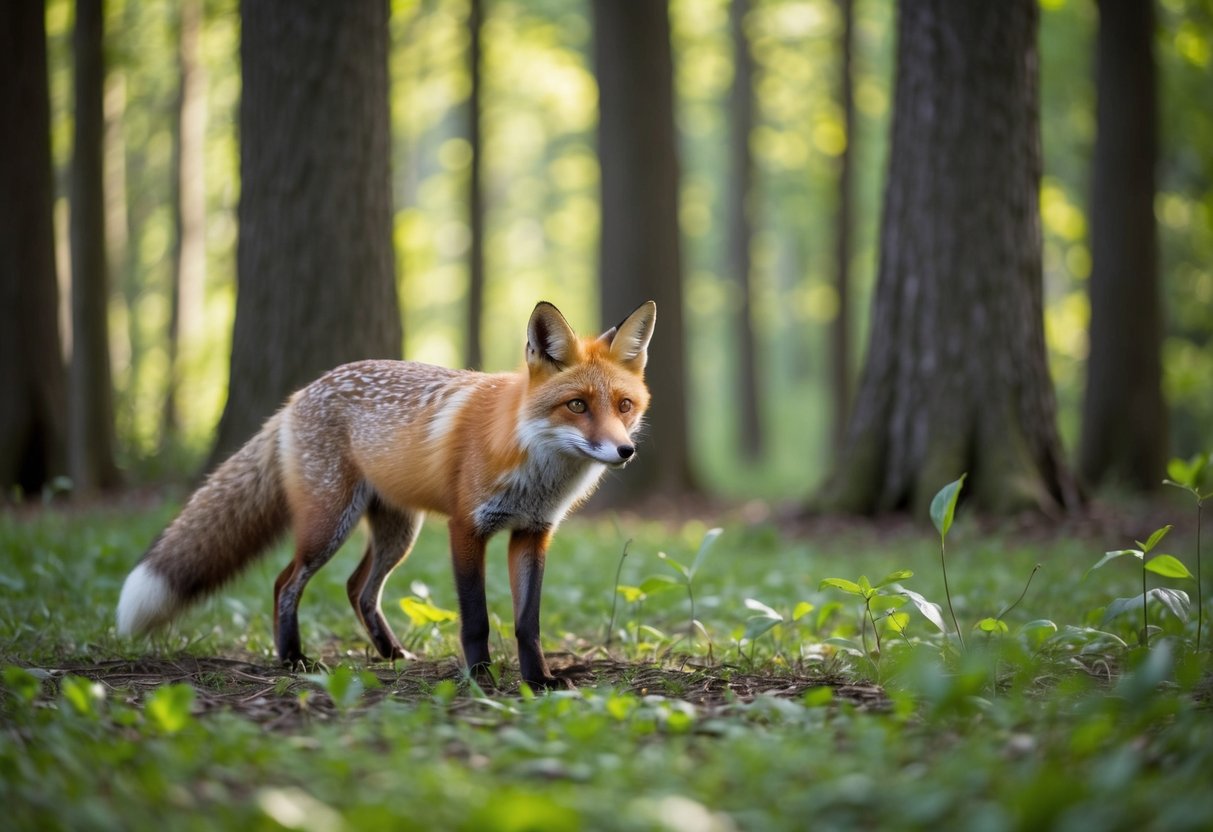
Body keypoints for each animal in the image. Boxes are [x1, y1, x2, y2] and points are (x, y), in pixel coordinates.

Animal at [116, 300, 655, 687]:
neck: (533, 462)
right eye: (577, 405)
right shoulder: (466, 528)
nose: (625, 451)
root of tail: (299, 395)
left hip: (398, 533)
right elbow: (476, 619)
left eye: (624, 406)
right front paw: (479, 678)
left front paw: (538, 680)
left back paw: (391, 653)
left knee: (359, 589)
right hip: (328, 525)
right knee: (286, 582)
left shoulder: (532, 534)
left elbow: (528, 623)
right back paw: (293, 659)